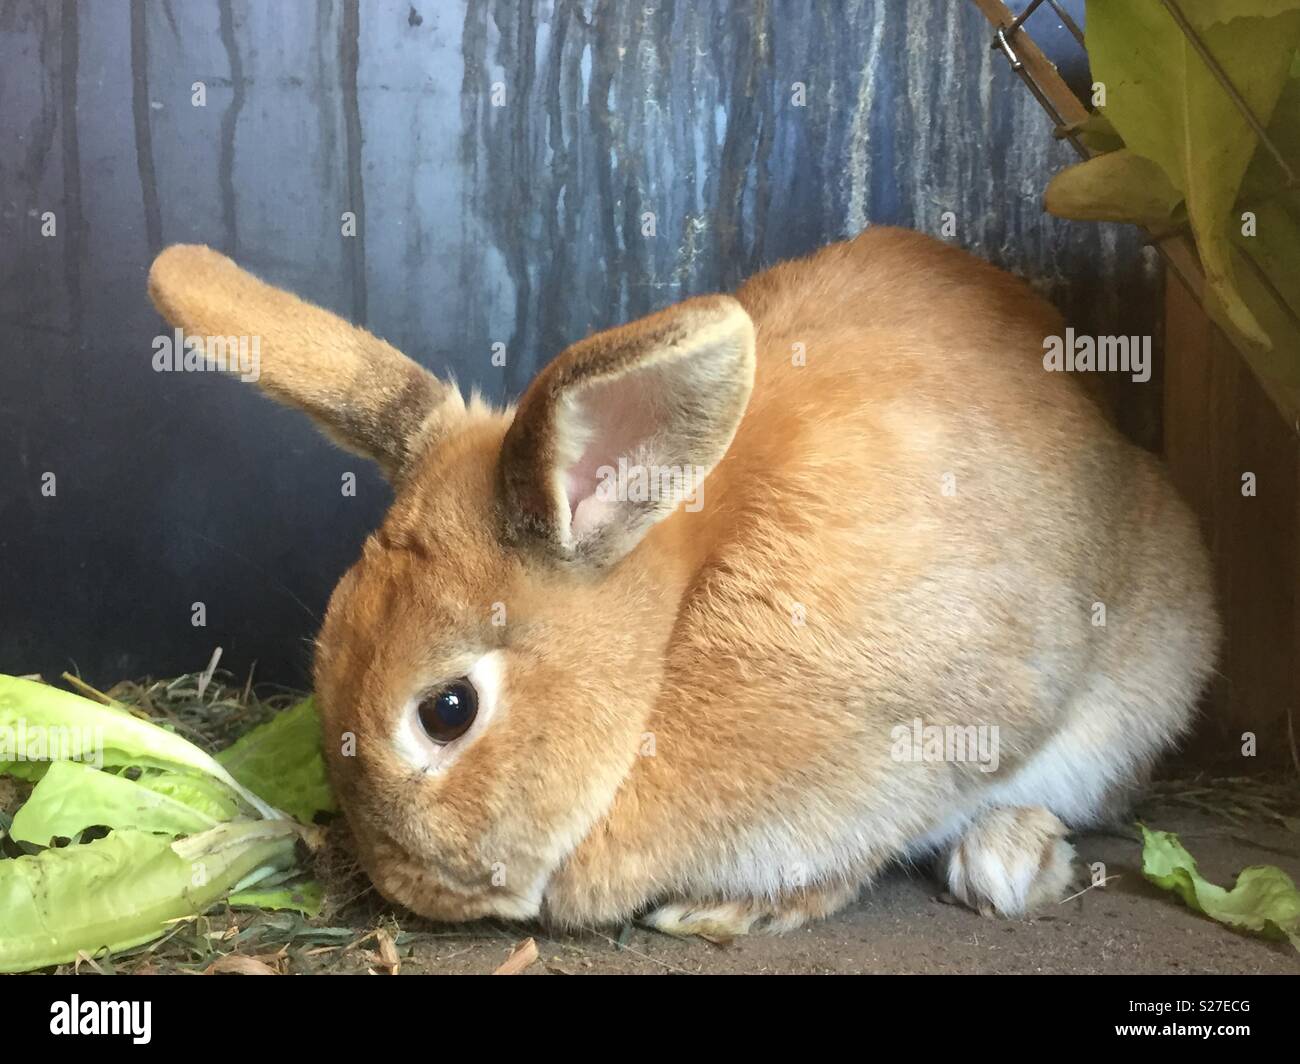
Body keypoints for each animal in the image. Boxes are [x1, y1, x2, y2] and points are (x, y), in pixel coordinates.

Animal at [147, 226, 1218, 937]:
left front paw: (725, 913)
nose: (410, 891)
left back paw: (1008, 857)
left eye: (447, 710)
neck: (663, 651)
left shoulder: (944, 727)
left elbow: (869, 840)